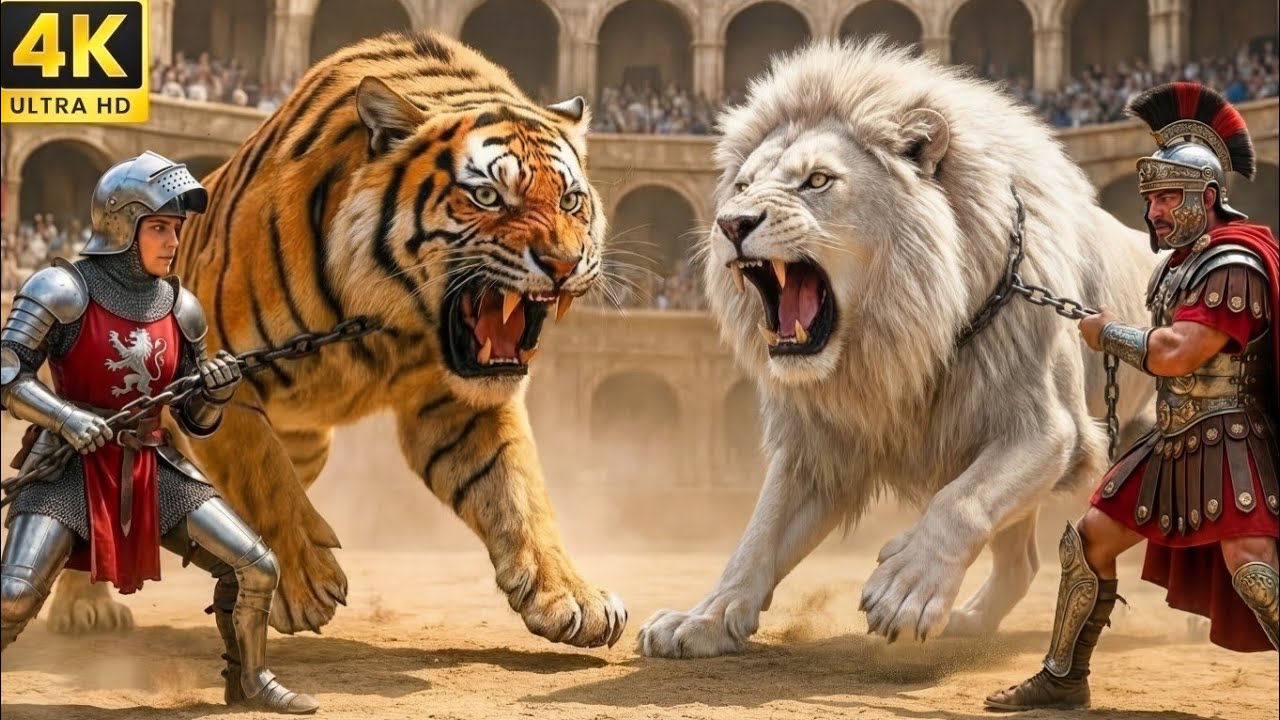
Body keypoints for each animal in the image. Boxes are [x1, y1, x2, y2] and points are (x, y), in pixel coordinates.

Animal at [45, 29, 627, 648]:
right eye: (489, 197)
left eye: (570, 200)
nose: (564, 264)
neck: (393, 322)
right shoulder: (222, 382)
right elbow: (262, 474)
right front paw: (305, 584)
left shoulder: (458, 402)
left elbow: (517, 490)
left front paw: (570, 595)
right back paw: (85, 608)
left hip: (307, 442)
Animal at [637, 38, 1159, 657]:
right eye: (742, 186)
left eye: (817, 180)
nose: (731, 223)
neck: (894, 342)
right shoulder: (820, 445)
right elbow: (758, 534)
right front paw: (703, 618)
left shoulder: (1053, 430)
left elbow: (962, 501)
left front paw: (907, 587)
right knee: (1022, 564)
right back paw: (970, 624)